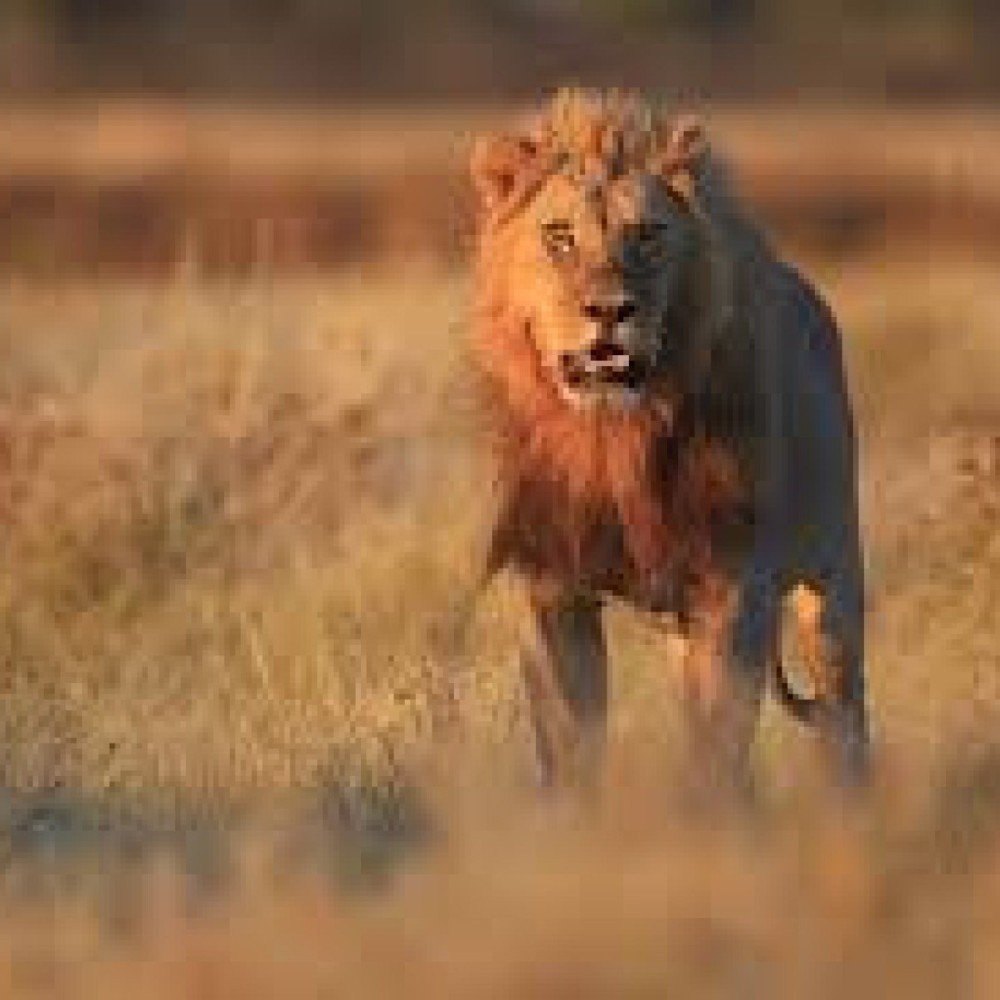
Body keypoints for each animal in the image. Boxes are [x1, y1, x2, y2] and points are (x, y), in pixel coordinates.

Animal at [468, 89, 870, 793]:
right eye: (559, 236)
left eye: (649, 234)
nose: (609, 310)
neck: (611, 438)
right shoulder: (549, 582)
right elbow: (568, 738)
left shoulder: (732, 588)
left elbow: (717, 745)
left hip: (832, 583)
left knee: (846, 717)